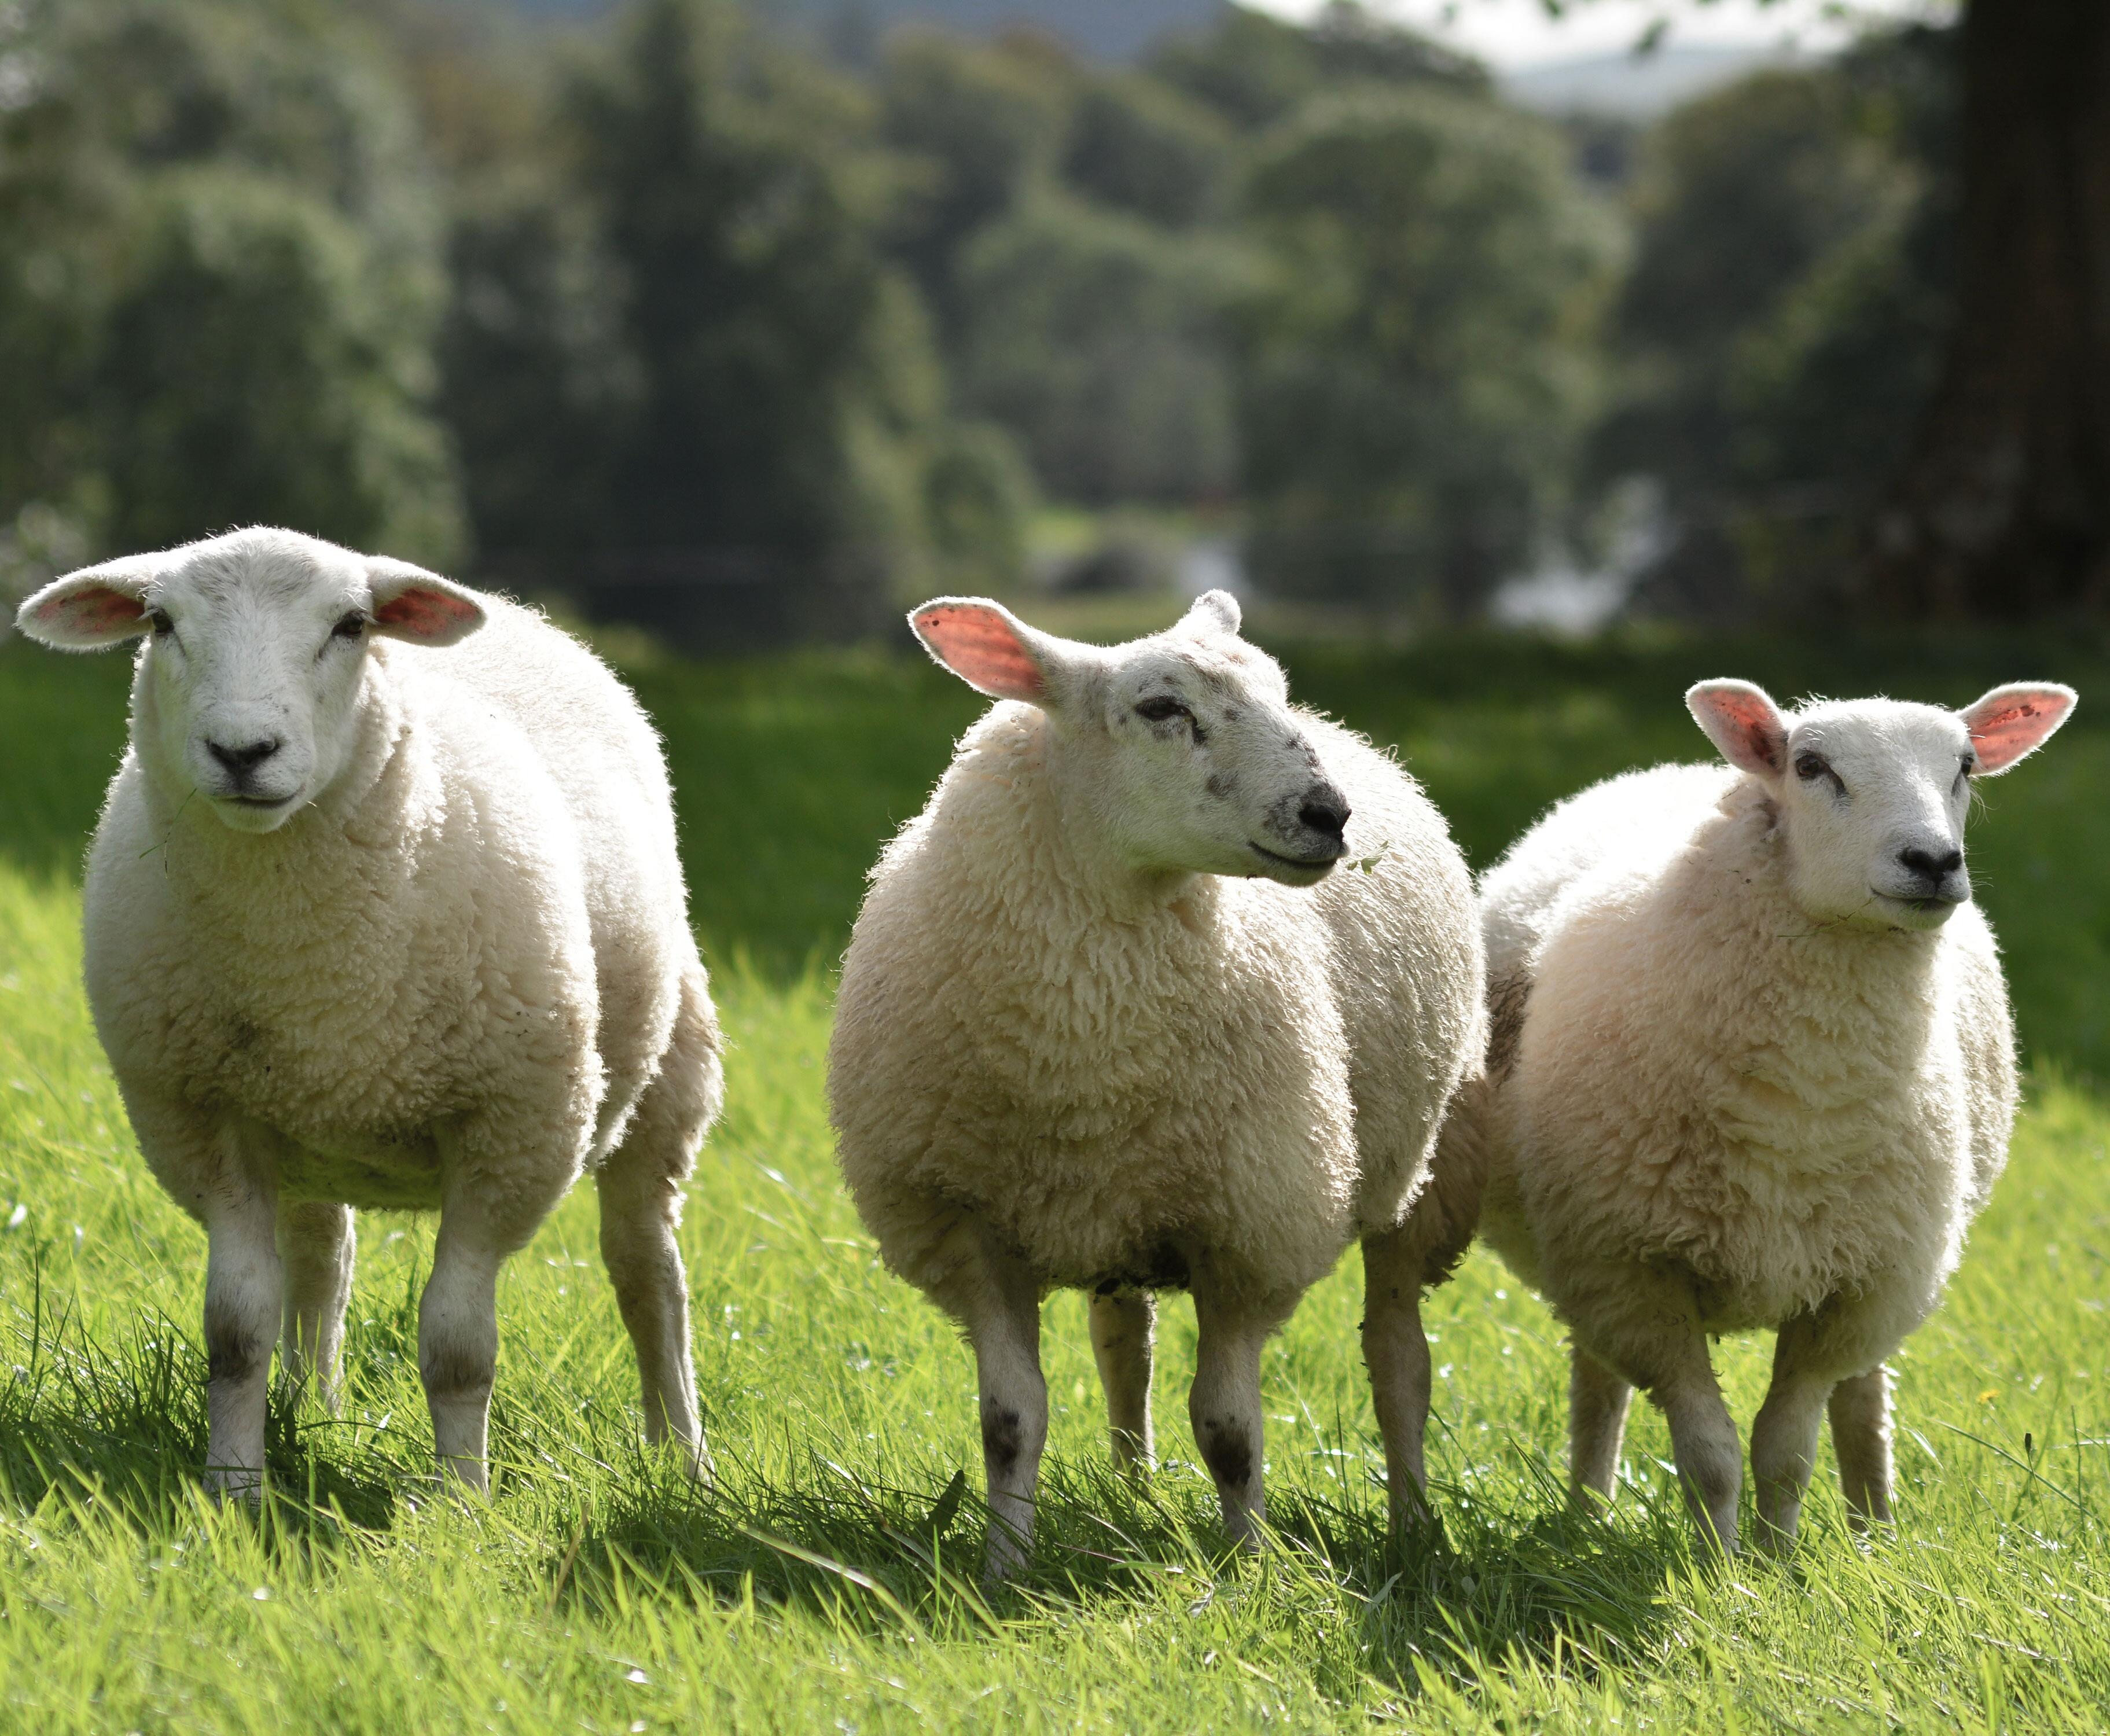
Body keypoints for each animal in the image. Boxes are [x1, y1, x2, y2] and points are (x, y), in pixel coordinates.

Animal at [14, 526, 723, 1495]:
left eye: (350, 625)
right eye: (160, 623)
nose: (244, 751)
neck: (307, 963)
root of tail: (519, 613)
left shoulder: (515, 1132)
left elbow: (458, 1346)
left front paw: (465, 1504)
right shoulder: (202, 1119)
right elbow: (236, 1328)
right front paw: (233, 1490)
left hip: (666, 1073)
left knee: (647, 1272)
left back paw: (681, 1456)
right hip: (303, 1127)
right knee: (323, 1259)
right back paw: (314, 1410)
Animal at [827, 592, 1484, 1576]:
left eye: (1275, 690)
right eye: (1160, 709)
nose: (1328, 813)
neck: (1085, 1047)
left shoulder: (1246, 1229)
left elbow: (1228, 1430)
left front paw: (1249, 1570)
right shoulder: (971, 1226)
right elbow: (1008, 1421)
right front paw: (1002, 1569)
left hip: (1413, 1171)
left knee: (1398, 1361)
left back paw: (1410, 1522)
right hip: (1119, 1203)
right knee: (1121, 1347)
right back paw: (1131, 1492)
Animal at [1411, 677, 2074, 1555]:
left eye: (1964, 765)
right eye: (1810, 765)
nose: (1932, 862)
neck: (1801, 1111)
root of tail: (1686, 766)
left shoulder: (1856, 1289)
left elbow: (1785, 1449)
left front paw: (1779, 1561)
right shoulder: (1633, 1271)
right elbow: (1712, 1452)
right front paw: (1720, 1566)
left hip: (1891, 1256)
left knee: (1863, 1393)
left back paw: (1874, 1531)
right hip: (1585, 1254)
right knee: (1596, 1382)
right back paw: (1585, 1516)